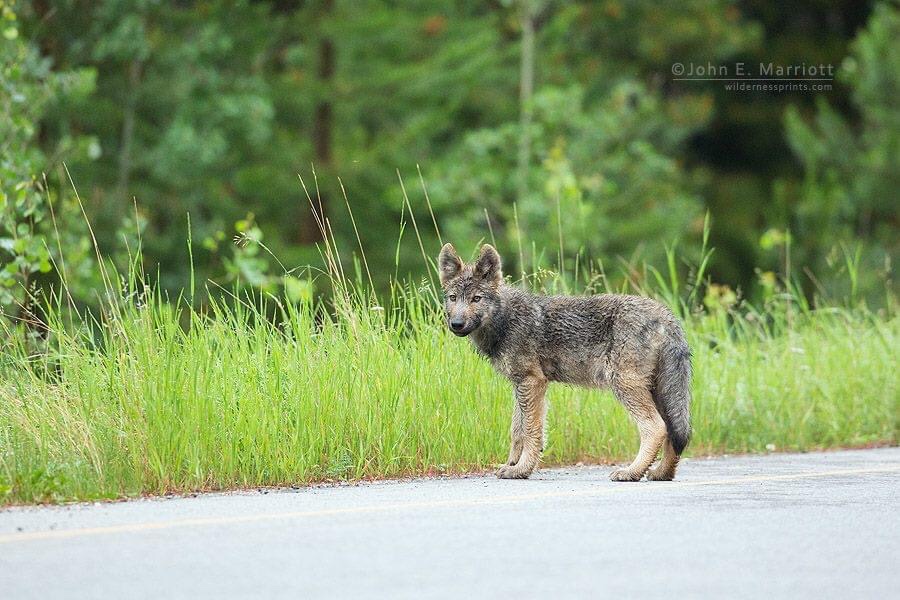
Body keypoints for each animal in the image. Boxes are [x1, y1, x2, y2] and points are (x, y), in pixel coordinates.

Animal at [438, 243, 692, 481]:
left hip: (626, 387)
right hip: (659, 392)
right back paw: (661, 473)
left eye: (476, 299)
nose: (456, 324)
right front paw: (511, 466)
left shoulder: (532, 382)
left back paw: (631, 472)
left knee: (656, 428)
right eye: (453, 298)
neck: (505, 320)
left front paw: (521, 469)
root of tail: (668, 317)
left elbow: (531, 431)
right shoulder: (521, 385)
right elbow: (517, 431)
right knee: (675, 432)